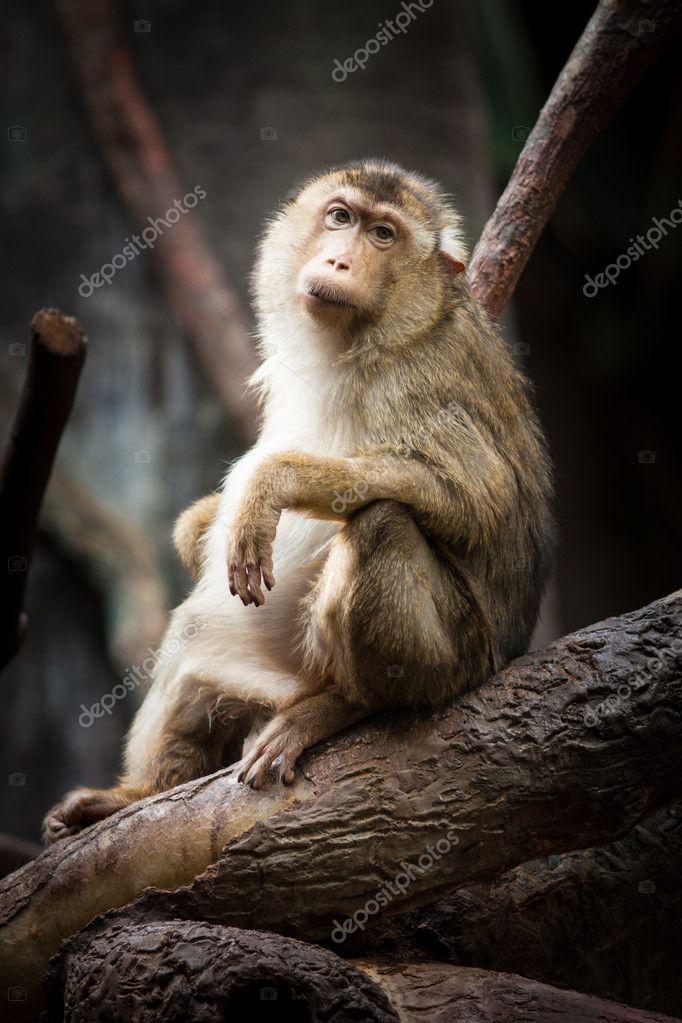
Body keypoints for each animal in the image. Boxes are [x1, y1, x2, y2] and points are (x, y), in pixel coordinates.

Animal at [43, 159, 554, 843]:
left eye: (383, 235)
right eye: (341, 217)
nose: (339, 260)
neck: (370, 336)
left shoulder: (420, 375)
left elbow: (474, 494)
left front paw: (272, 482)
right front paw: (198, 525)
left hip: (459, 662)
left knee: (381, 521)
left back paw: (352, 705)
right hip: (268, 674)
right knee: (200, 637)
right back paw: (139, 794)